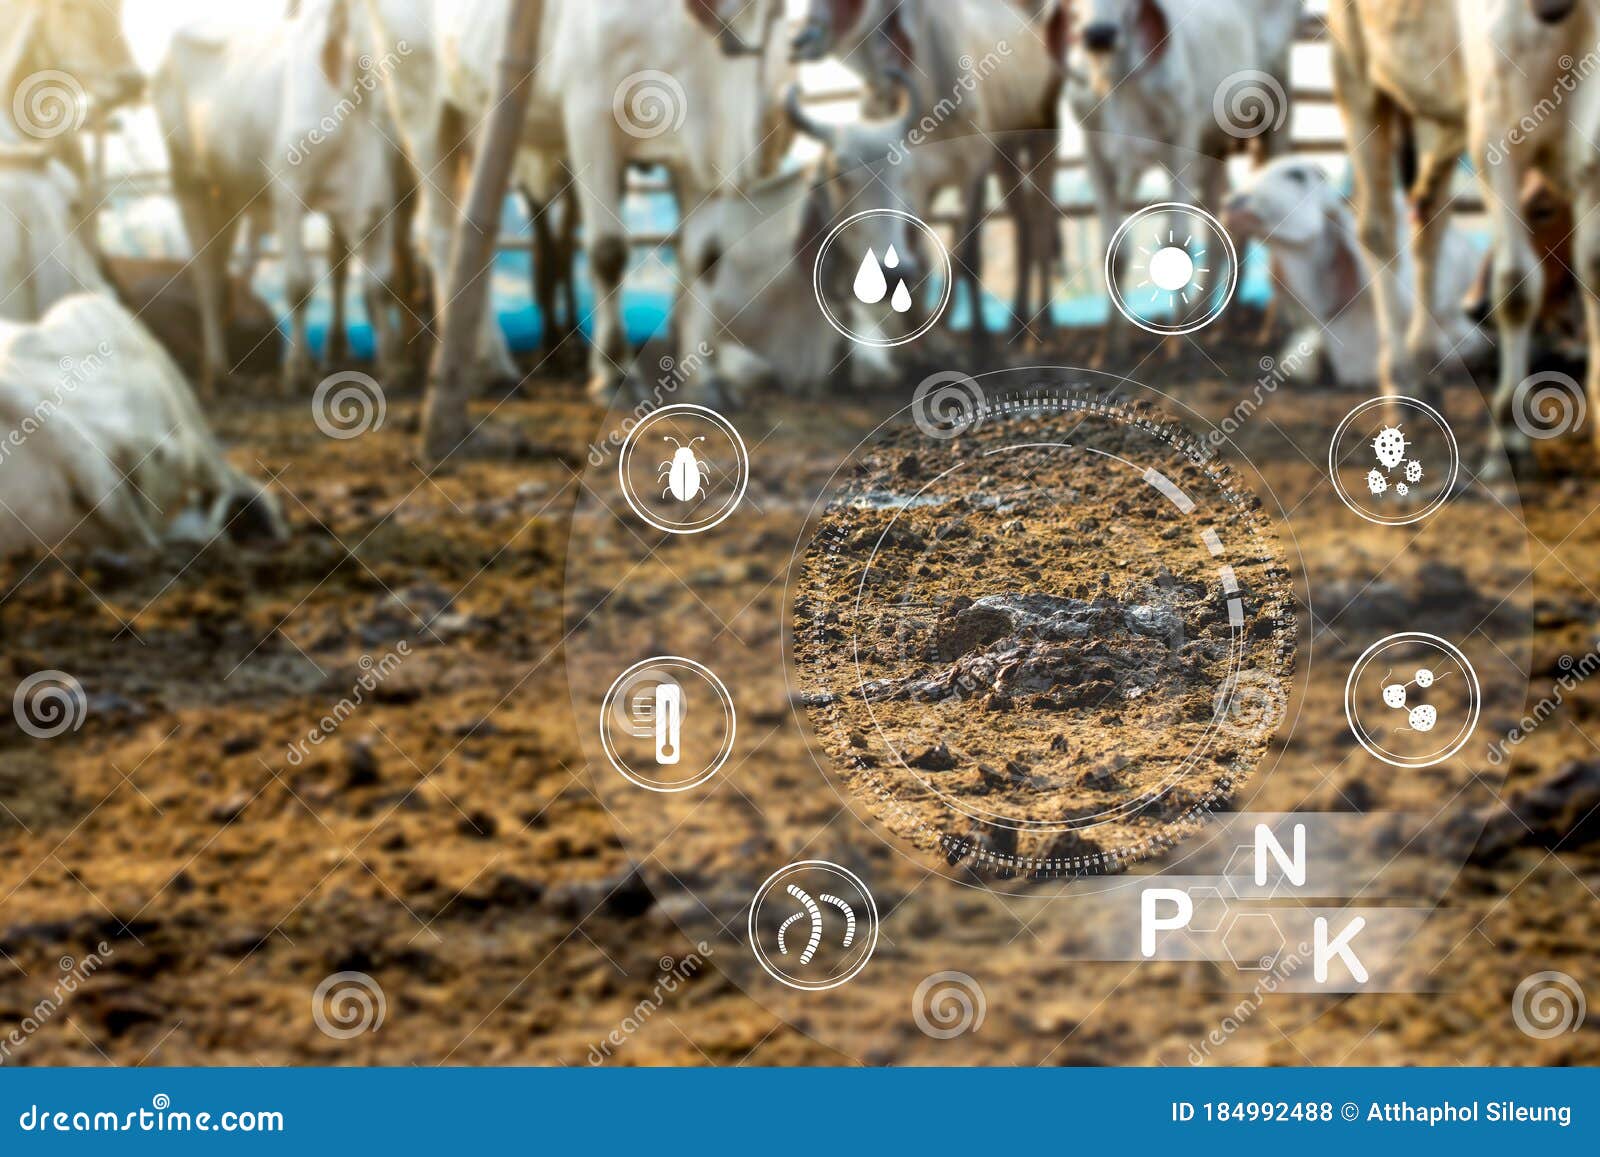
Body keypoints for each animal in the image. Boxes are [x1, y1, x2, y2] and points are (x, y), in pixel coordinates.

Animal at [153, 0, 405, 398]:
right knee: (205, 278)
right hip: (188, 179)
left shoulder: (381, 196)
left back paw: (223, 372)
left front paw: (391, 368)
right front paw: (296, 373)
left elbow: (381, 283)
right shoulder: (288, 192)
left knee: (219, 274)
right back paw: (216, 371)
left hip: (227, 195)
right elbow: (299, 284)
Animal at [358, 0, 791, 401]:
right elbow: (608, 252)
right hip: (421, 105)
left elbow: (706, 258)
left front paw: (708, 380)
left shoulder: (699, 152)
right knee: (440, 234)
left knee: (473, 233)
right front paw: (614, 373)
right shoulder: (590, 117)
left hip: (483, 122)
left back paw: (494, 365)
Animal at [1070, 0, 1301, 359]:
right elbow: (1112, 250)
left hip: (1274, 112)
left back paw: (1272, 327)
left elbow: (1177, 240)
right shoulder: (1094, 150)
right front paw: (1111, 348)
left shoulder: (1182, 136)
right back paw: (1213, 322)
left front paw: (1177, 344)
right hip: (1216, 142)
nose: (1099, 35)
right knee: (1223, 225)